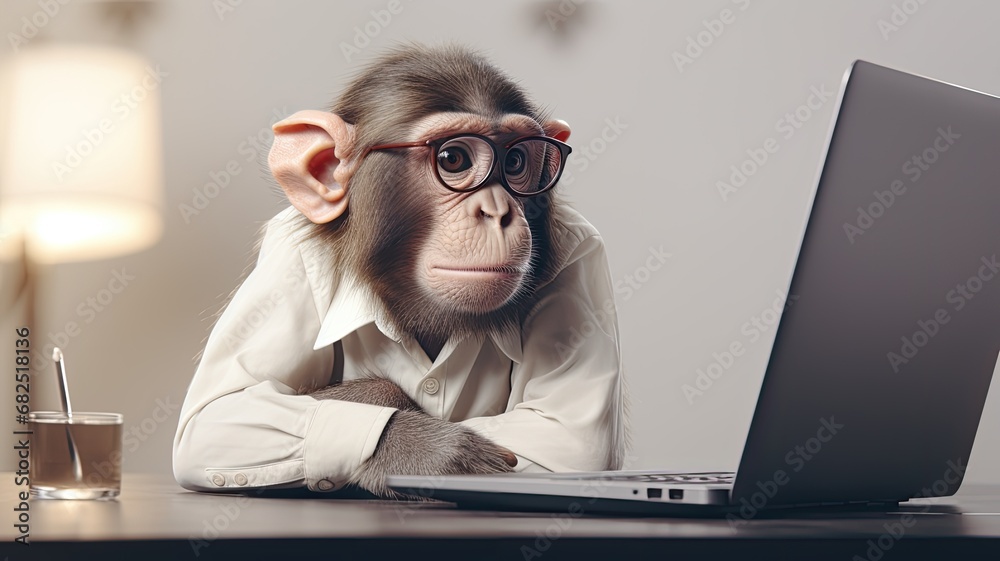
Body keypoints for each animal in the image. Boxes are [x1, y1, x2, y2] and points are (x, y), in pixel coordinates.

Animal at [173, 43, 625, 499]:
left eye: (515, 161)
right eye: (453, 158)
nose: (497, 211)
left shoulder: (581, 253)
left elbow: (562, 431)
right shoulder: (290, 256)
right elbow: (215, 413)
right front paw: (425, 449)